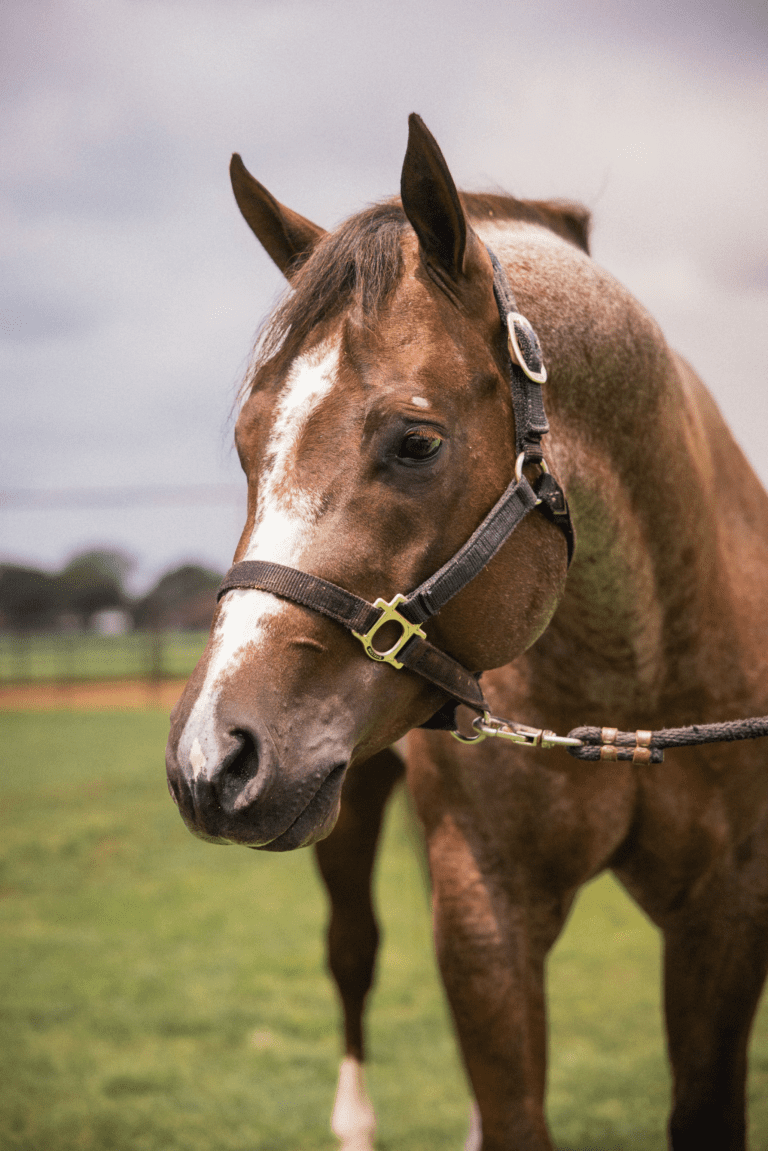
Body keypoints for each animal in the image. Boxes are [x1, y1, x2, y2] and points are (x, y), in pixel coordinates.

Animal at [165, 114, 768, 1150]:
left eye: (417, 441)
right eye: (247, 446)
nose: (213, 755)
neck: (633, 677)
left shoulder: (727, 911)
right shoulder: (487, 908)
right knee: (353, 951)